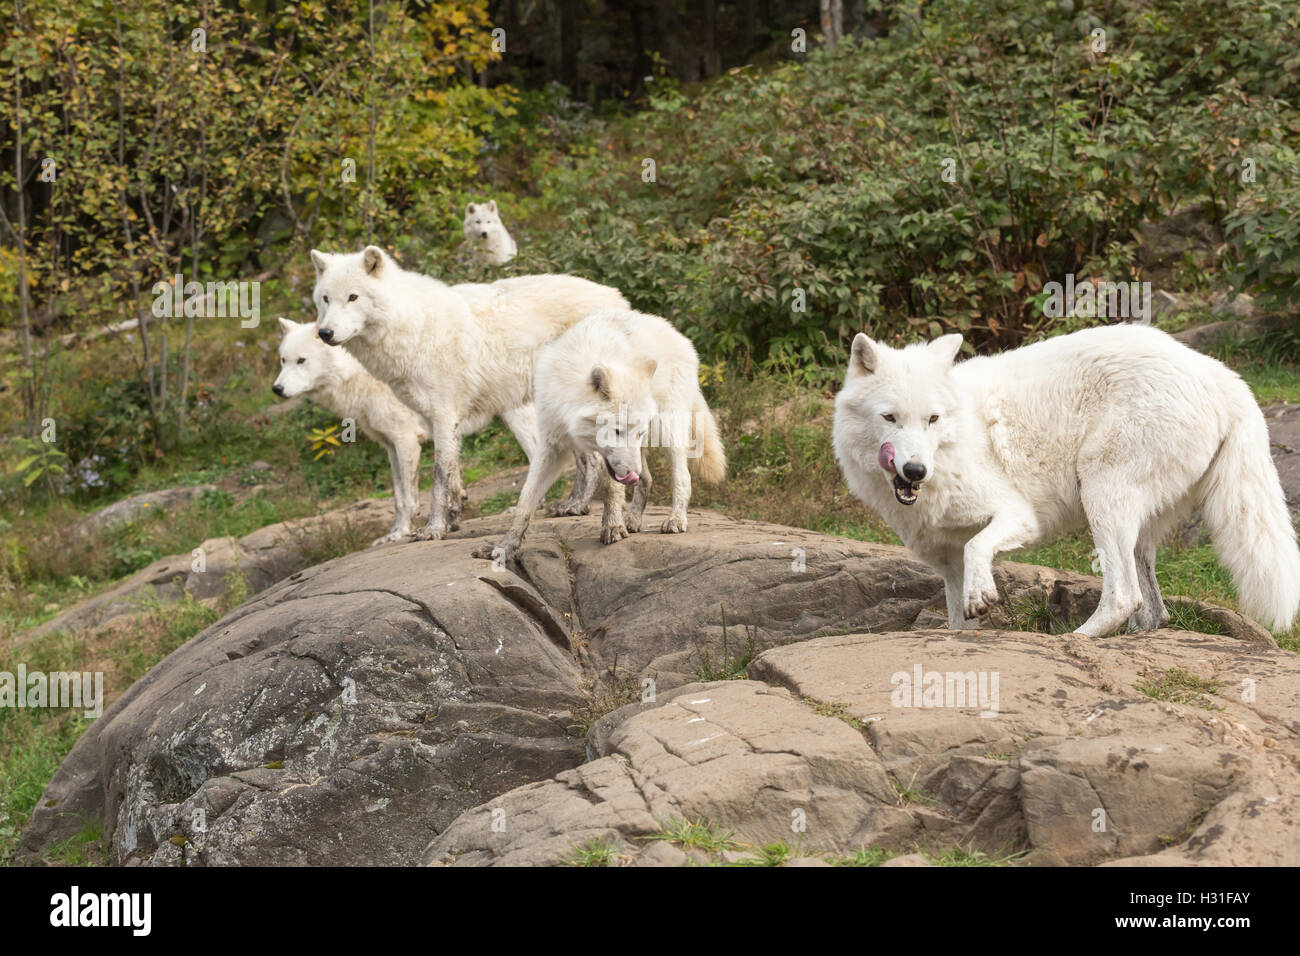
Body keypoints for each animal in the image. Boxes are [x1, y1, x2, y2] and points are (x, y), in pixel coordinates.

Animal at [272, 316, 429, 545]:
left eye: (301, 360)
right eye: (284, 360)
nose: (277, 389)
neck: (361, 374)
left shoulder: (406, 441)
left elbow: (408, 498)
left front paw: (402, 532)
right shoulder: (391, 446)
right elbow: (398, 498)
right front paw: (393, 534)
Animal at [311, 247, 628, 539]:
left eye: (353, 297)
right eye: (325, 299)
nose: (324, 333)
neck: (414, 326)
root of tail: (617, 297)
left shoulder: (442, 415)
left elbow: (439, 478)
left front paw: (433, 529)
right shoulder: (435, 420)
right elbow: (453, 476)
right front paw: (453, 518)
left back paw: (604, 520)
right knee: (590, 460)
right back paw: (575, 505)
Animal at [474, 308, 727, 565]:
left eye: (639, 431)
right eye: (618, 431)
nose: (632, 475)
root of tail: (679, 335)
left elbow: (612, 490)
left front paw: (612, 527)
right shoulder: (552, 445)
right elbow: (525, 502)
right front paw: (504, 547)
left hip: (668, 430)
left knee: (682, 477)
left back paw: (675, 519)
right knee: (648, 479)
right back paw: (633, 519)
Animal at [833, 324, 1300, 638]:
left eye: (932, 419)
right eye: (890, 418)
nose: (915, 471)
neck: (958, 438)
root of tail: (1224, 375)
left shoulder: (1017, 516)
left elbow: (977, 546)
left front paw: (983, 595)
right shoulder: (946, 562)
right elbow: (957, 622)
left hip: (1101, 494)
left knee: (1124, 596)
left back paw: (1075, 640)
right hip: (1137, 525)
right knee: (1154, 611)